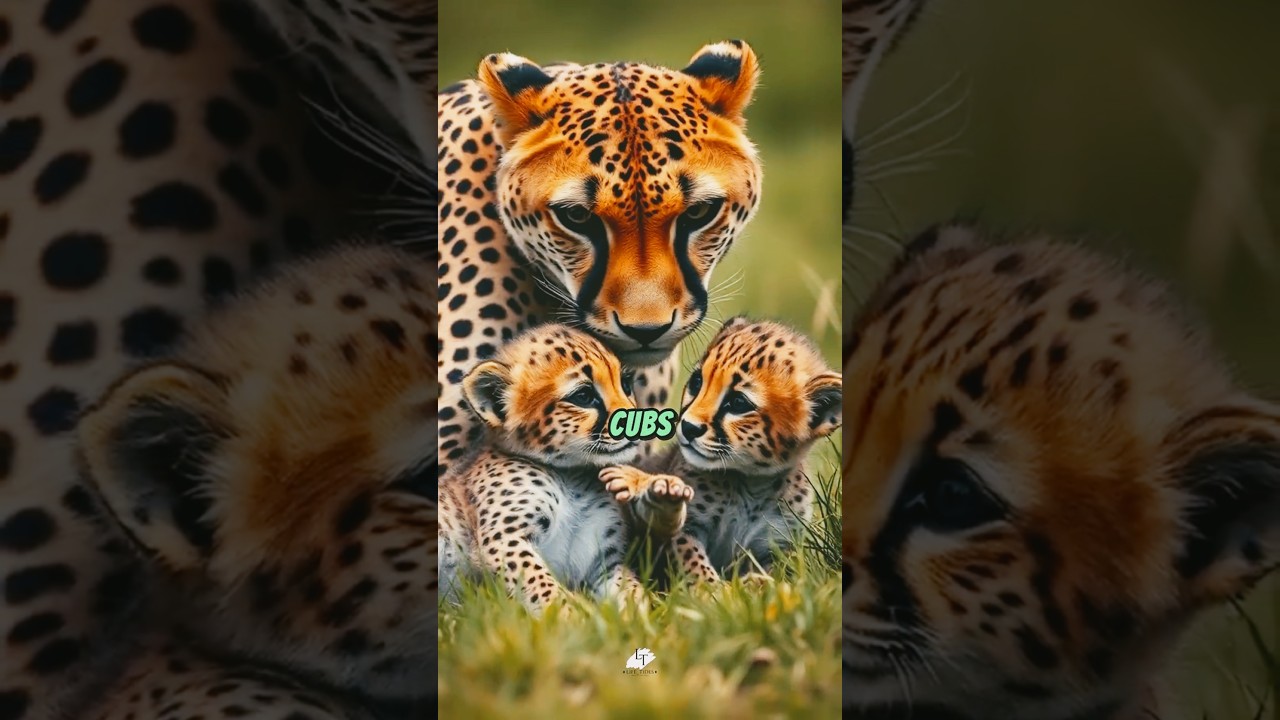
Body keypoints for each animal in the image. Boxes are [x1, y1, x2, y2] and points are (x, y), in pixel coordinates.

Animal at [439, 323, 691, 612]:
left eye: (625, 384)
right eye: (583, 396)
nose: (643, 424)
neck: (573, 476)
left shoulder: (604, 564)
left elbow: (633, 594)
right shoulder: (504, 540)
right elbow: (542, 585)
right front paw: (573, 614)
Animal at [602, 316, 843, 584]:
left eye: (738, 403)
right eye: (697, 382)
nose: (687, 427)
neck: (751, 483)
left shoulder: (778, 547)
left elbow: (779, 576)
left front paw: (751, 584)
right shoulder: (687, 532)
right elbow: (694, 564)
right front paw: (713, 589)